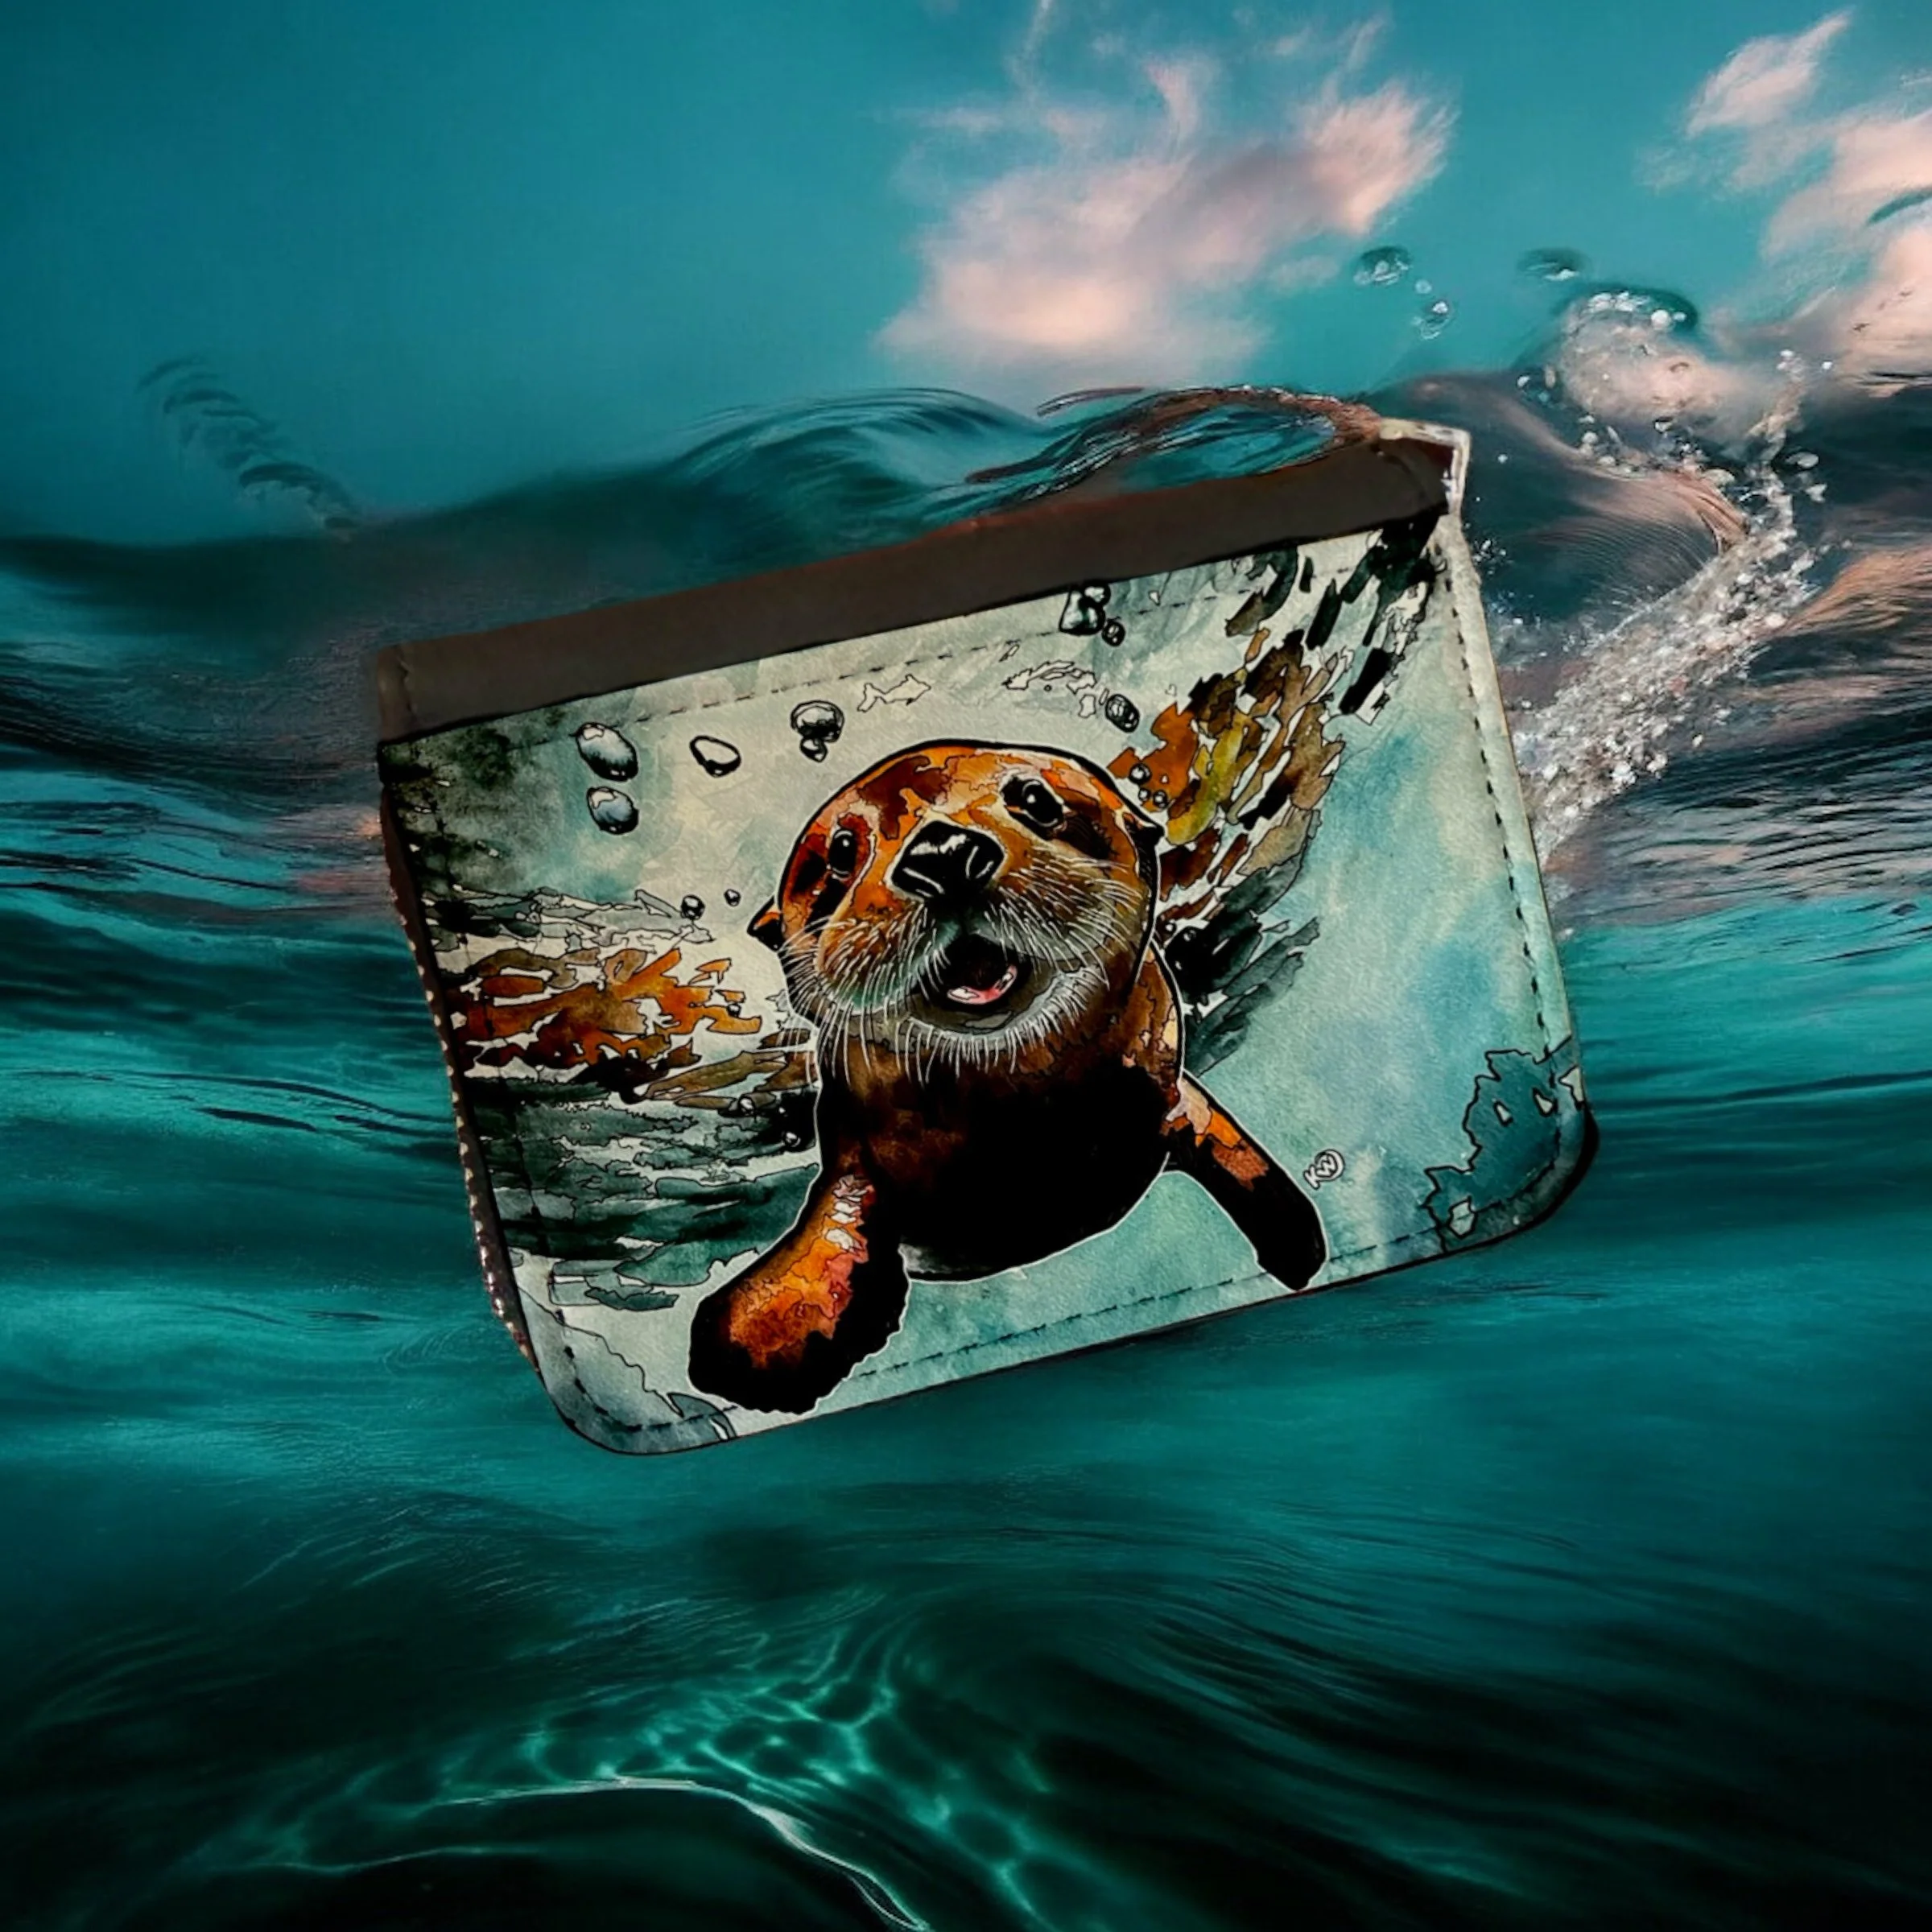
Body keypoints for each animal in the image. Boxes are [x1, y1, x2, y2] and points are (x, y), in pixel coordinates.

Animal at [687, 741, 1327, 1413]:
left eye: (1036, 799)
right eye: (839, 853)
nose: (944, 854)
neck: (1023, 1137)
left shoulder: (1171, 1091)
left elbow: (1235, 1151)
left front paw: (1297, 1240)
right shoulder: (852, 1152)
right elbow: (831, 1225)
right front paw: (755, 1336)